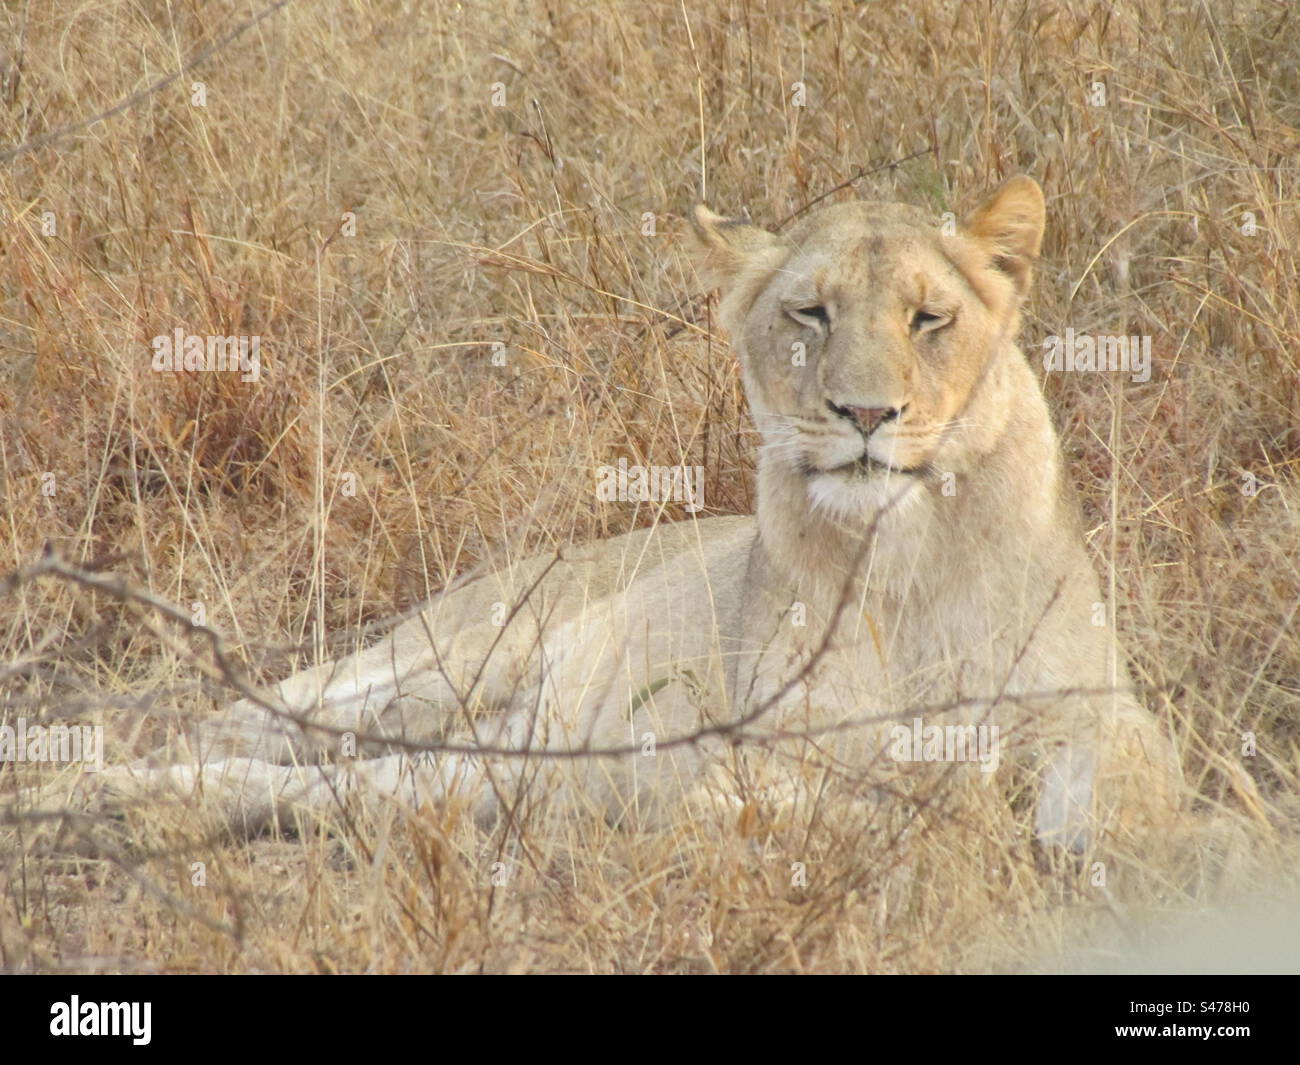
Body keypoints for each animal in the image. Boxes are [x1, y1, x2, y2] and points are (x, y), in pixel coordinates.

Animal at [46, 176, 1181, 852]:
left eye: (928, 317)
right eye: (809, 313)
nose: (862, 414)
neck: (900, 554)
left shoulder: (1107, 712)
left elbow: (1112, 785)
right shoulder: (750, 752)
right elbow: (809, 802)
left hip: (484, 759)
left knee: (351, 787)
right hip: (452, 658)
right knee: (244, 719)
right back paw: (81, 783)